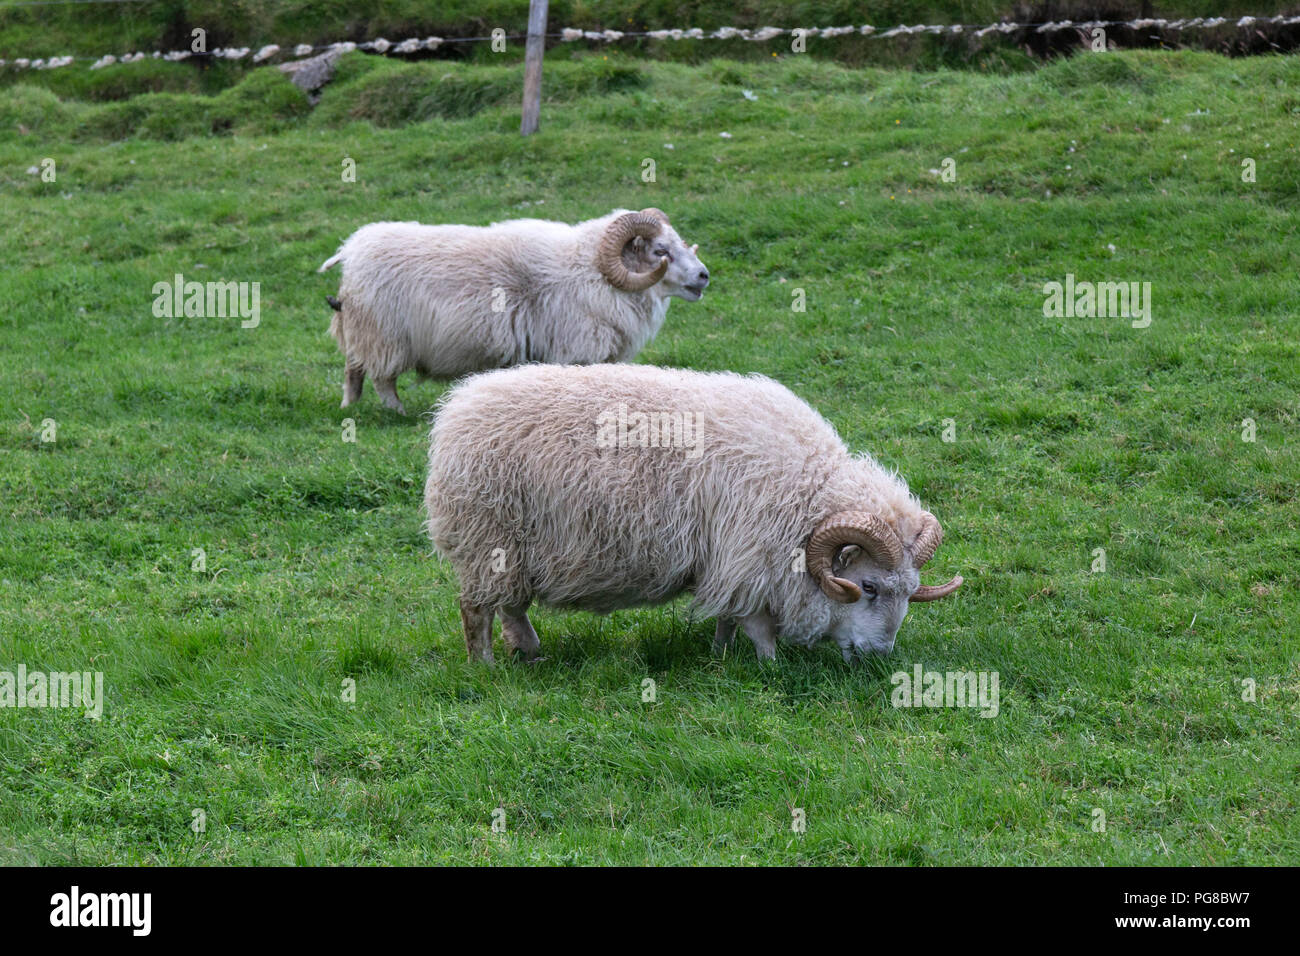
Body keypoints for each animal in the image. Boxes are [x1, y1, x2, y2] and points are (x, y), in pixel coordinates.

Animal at [318, 208, 709, 415]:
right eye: (661, 251)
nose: (704, 276)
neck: (592, 270)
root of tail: (350, 250)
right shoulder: (576, 353)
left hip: (360, 329)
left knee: (353, 369)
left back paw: (349, 407)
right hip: (384, 334)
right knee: (382, 378)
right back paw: (398, 413)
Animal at [424, 364, 962, 664]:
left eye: (910, 592)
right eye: (868, 587)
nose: (878, 658)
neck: (809, 487)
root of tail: (456, 411)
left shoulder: (729, 560)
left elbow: (728, 615)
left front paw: (721, 654)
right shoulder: (751, 554)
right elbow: (756, 622)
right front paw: (769, 667)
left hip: (509, 551)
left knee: (511, 605)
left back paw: (529, 652)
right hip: (487, 540)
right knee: (477, 610)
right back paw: (485, 667)